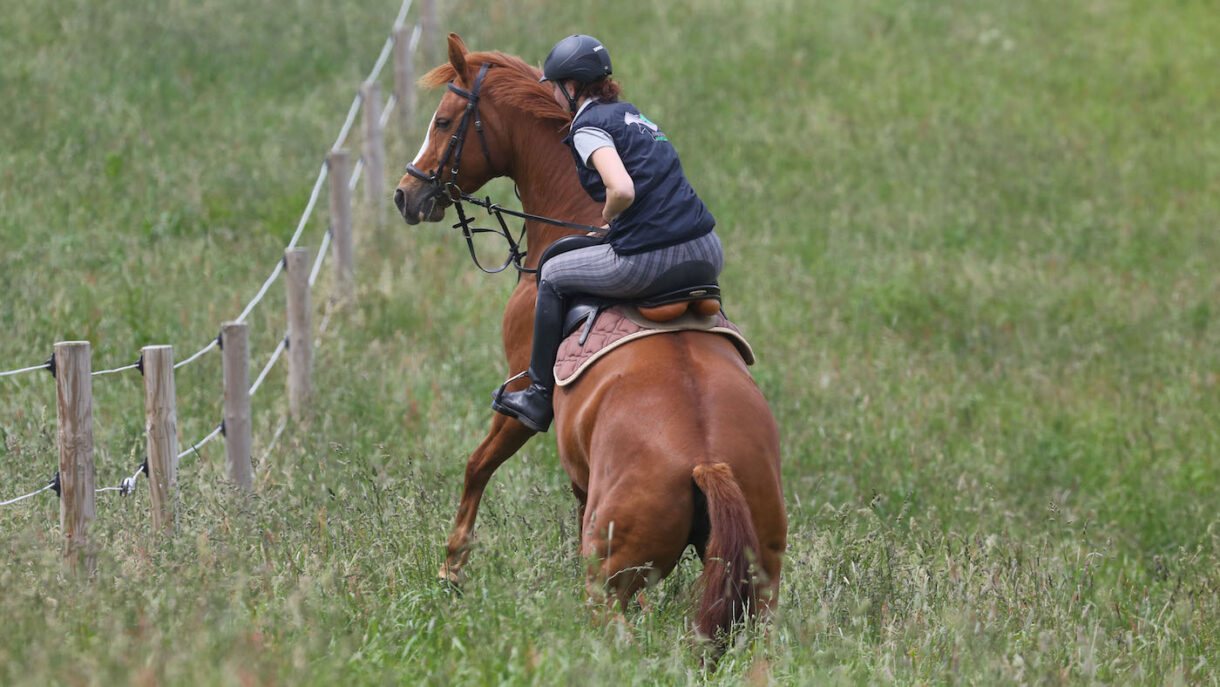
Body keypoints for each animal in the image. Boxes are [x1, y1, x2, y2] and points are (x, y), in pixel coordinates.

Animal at [394, 34, 787, 644]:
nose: (405, 194)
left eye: (442, 121)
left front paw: (451, 569)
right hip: (755, 586)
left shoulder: (523, 397)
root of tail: (709, 462)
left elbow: (477, 465)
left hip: (609, 578)